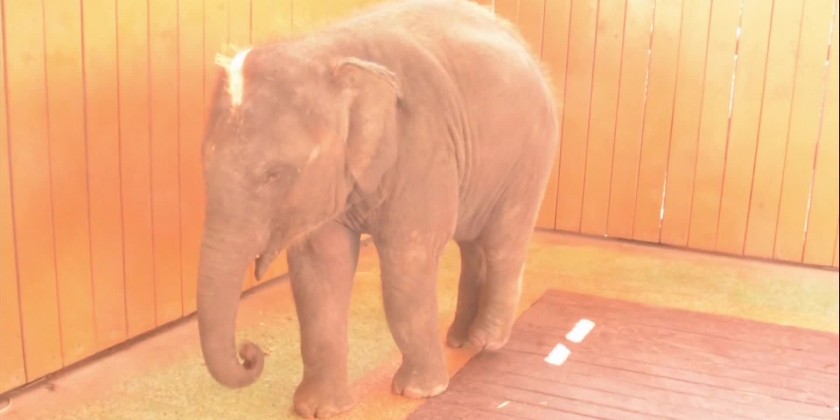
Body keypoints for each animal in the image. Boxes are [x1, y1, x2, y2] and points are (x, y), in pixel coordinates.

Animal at [197, 0, 559, 417]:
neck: (326, 51)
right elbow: (319, 271)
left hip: (532, 152)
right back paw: (458, 341)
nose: (250, 353)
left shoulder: (424, 145)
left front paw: (420, 392)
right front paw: (319, 409)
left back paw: (485, 341)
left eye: (275, 174)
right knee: (472, 244)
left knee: (504, 239)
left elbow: (407, 265)